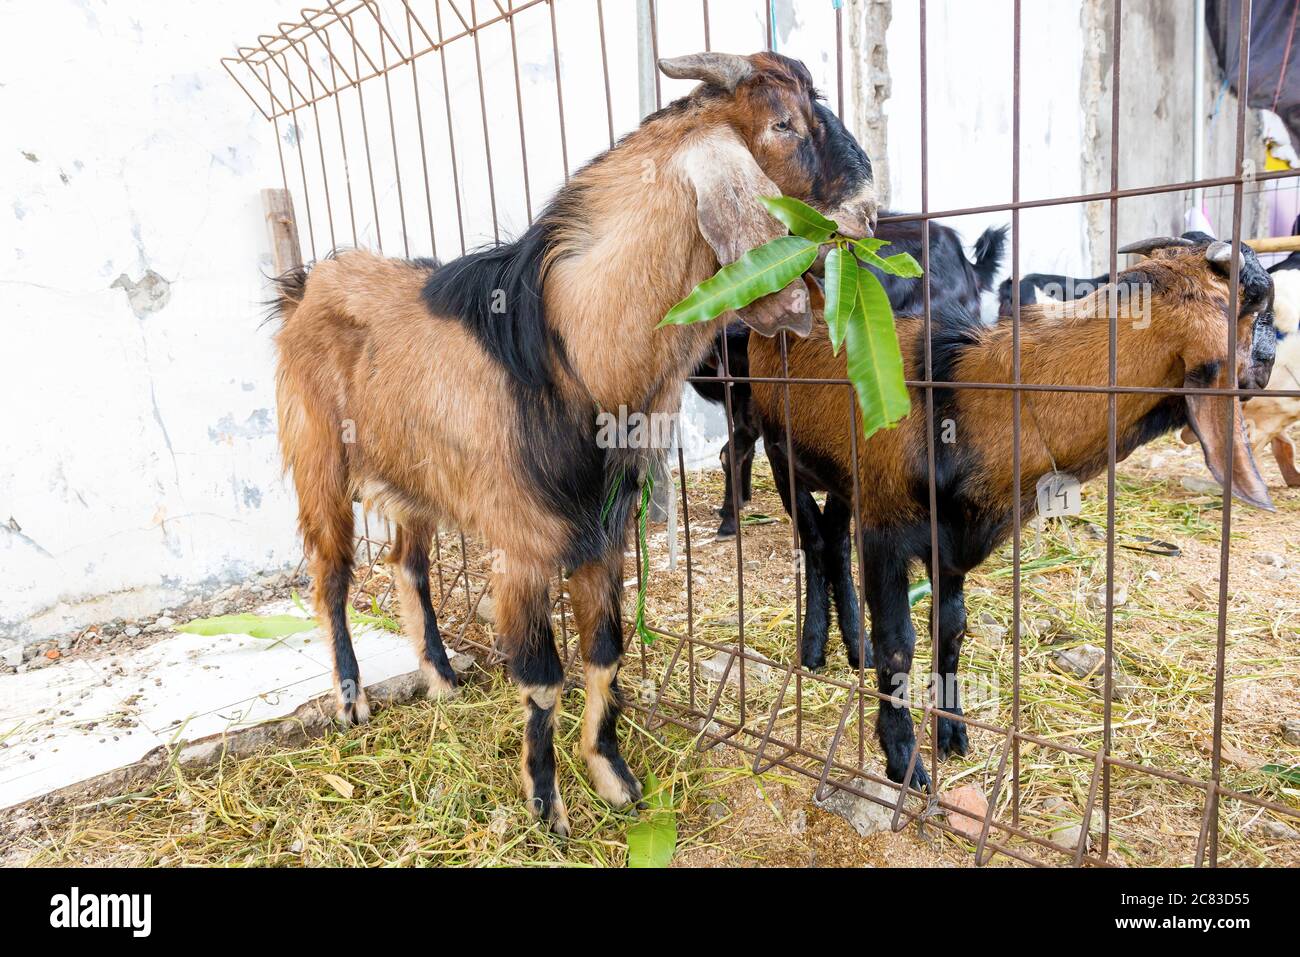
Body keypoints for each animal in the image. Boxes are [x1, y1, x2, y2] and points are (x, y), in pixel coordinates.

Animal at [270, 51, 879, 834]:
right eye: (783, 124)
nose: (868, 208)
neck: (575, 353)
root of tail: (306, 285)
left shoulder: (604, 539)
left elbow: (606, 655)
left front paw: (613, 776)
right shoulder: (525, 551)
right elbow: (541, 678)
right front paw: (546, 805)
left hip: (416, 480)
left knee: (409, 564)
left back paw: (442, 676)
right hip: (317, 458)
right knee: (333, 575)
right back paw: (351, 698)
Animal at [749, 237, 1276, 790]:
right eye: (1259, 305)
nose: (1266, 367)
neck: (965, 401)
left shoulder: (950, 545)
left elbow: (951, 629)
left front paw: (952, 734)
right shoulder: (885, 530)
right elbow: (897, 643)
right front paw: (903, 759)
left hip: (842, 480)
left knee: (832, 541)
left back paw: (854, 650)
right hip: (781, 454)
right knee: (813, 543)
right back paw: (813, 651)